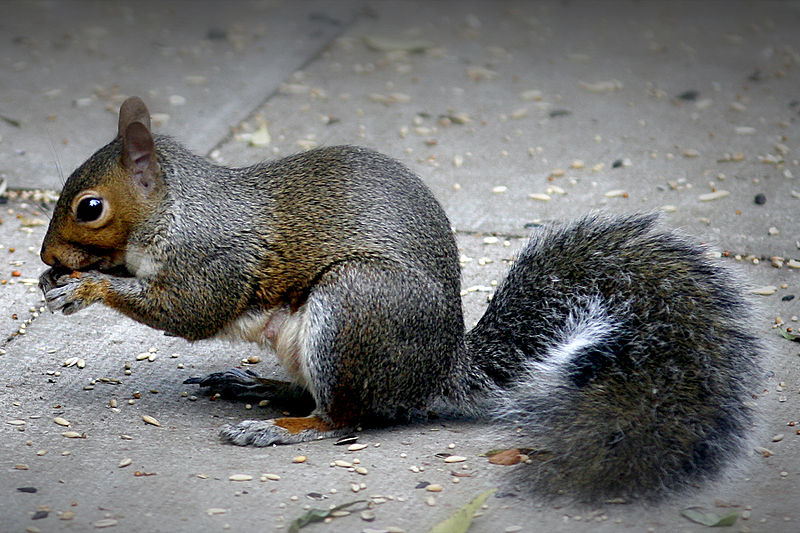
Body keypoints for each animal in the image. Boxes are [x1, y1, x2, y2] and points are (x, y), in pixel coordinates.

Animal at [39, 96, 762, 502]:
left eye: (89, 207)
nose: (46, 259)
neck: (175, 208)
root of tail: (435, 372)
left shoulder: (216, 258)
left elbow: (190, 311)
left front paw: (85, 286)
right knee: (325, 399)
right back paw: (255, 389)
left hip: (353, 308)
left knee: (344, 418)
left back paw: (275, 428)